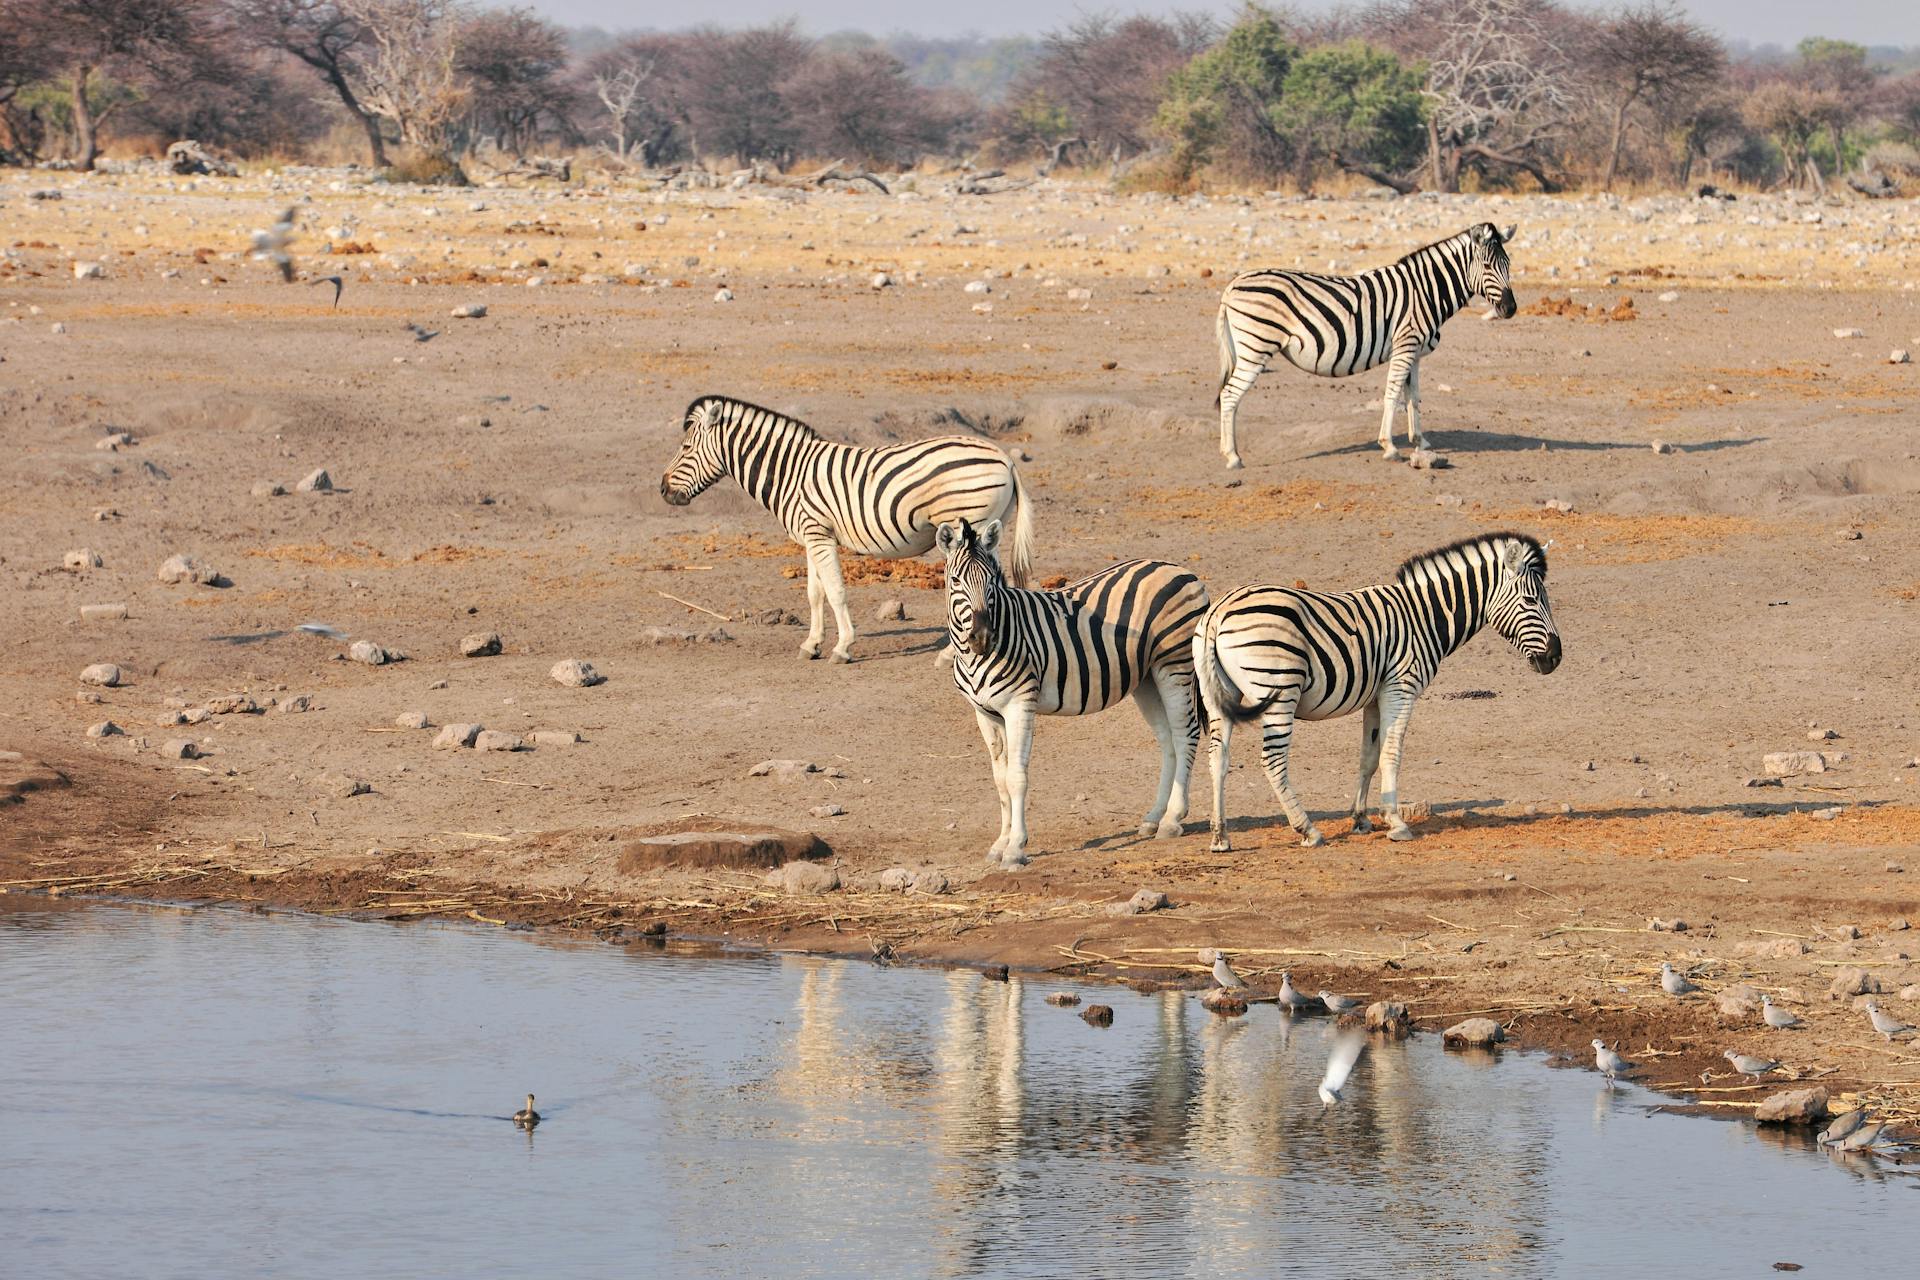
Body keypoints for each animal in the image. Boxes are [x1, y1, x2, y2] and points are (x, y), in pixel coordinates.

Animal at [659, 395, 1034, 663]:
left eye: (686, 448)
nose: (663, 491)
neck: (790, 473)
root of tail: (1006, 458)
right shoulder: (813, 536)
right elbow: (815, 593)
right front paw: (811, 644)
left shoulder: (818, 535)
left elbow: (836, 591)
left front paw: (843, 647)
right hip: (987, 531)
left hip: (969, 528)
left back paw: (949, 654)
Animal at [937, 517, 1210, 869]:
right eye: (956, 580)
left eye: (992, 582)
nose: (983, 637)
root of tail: (1181, 570)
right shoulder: (985, 713)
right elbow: (1000, 779)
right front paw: (1000, 844)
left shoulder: (1020, 703)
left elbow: (1016, 777)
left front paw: (1015, 849)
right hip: (1147, 677)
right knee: (1168, 740)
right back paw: (1154, 818)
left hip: (1174, 664)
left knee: (1185, 733)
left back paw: (1173, 820)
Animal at [1192, 532, 1560, 852]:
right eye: (1531, 600)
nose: (1555, 658)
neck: (1424, 617)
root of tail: (1218, 612)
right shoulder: (1401, 688)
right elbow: (1392, 753)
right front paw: (1395, 822)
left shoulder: (1374, 697)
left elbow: (1368, 757)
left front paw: (1360, 819)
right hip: (1280, 689)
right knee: (1272, 760)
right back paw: (1307, 830)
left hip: (1220, 696)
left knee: (1218, 757)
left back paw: (1220, 836)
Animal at [1213, 222, 1518, 468]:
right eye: (1488, 266)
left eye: (1509, 265)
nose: (1511, 309)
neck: (1425, 291)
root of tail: (1232, 284)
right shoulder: (1404, 346)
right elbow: (1393, 395)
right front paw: (1389, 446)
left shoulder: (1415, 353)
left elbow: (1413, 397)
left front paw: (1420, 441)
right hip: (1256, 347)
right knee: (1229, 395)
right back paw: (1233, 457)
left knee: (1230, 396)